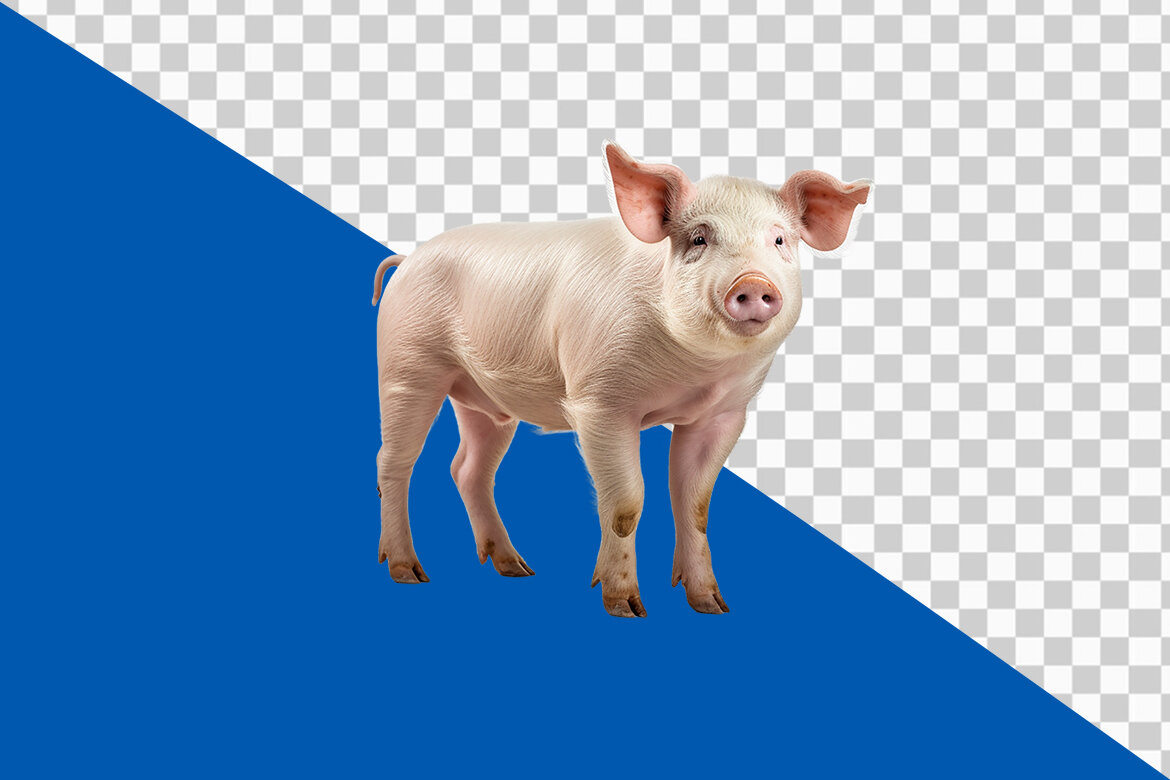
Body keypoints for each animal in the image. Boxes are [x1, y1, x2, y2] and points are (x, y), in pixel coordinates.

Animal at [371, 142, 872, 617]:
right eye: (699, 238)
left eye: (780, 239)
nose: (752, 282)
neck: (696, 370)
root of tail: (408, 258)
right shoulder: (600, 403)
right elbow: (626, 505)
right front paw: (627, 608)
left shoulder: (724, 415)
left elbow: (695, 507)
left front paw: (712, 606)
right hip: (406, 367)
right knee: (394, 462)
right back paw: (409, 573)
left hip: (482, 399)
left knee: (468, 469)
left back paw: (516, 569)